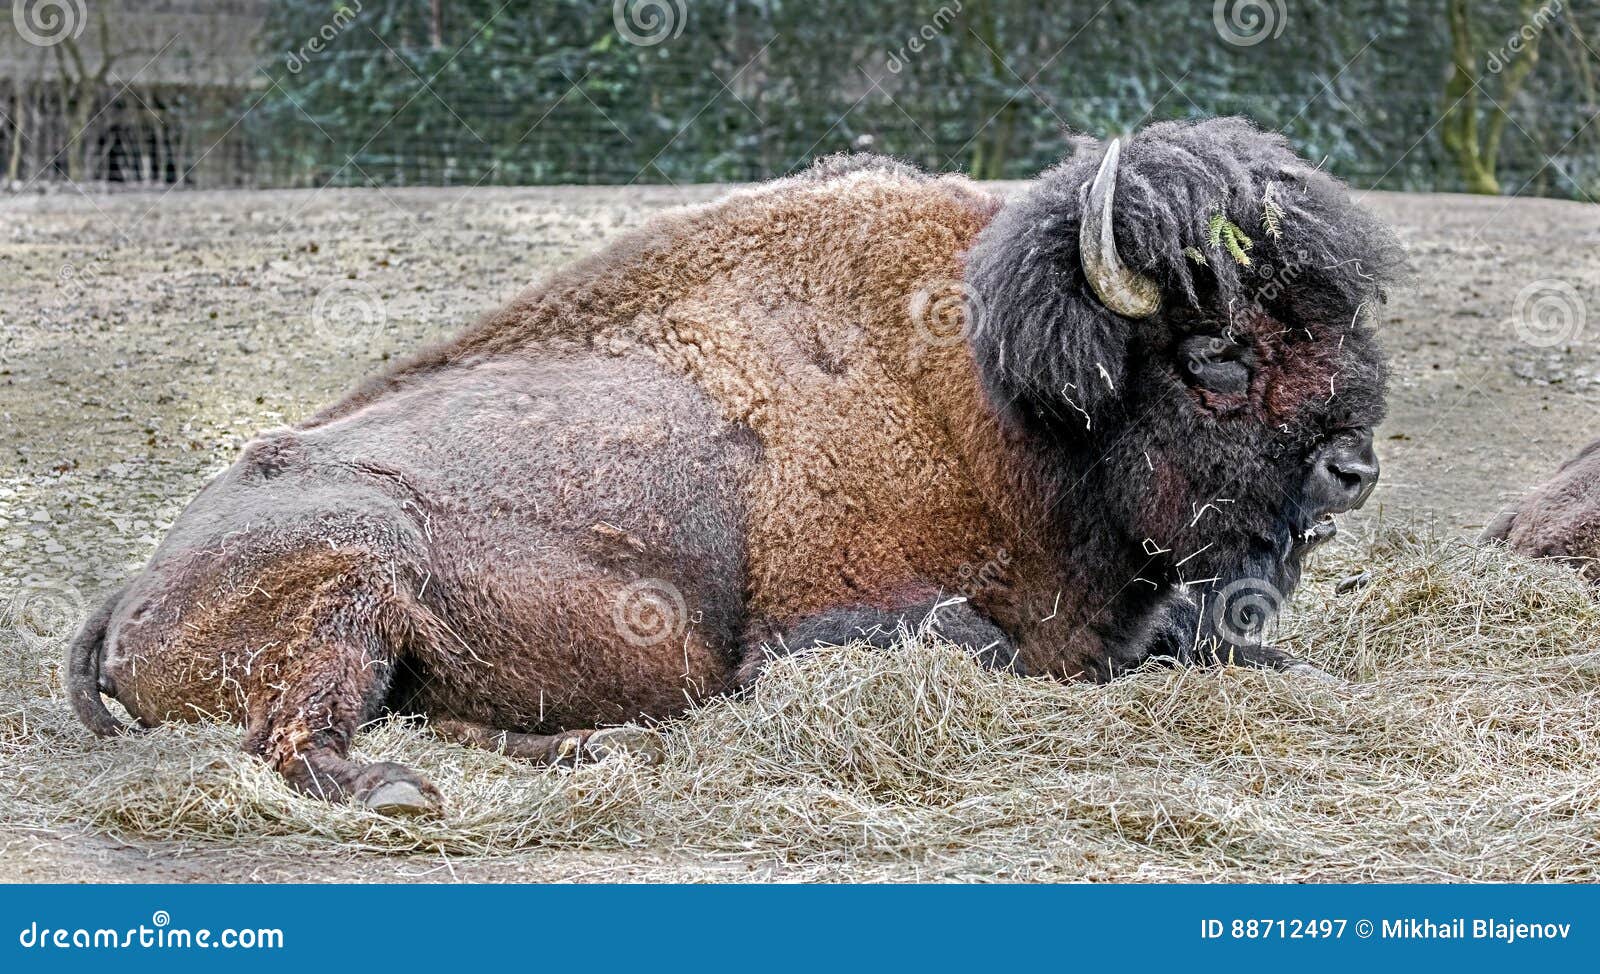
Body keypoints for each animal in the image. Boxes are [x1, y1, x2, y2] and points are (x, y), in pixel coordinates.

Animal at [70, 118, 1401, 814]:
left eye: (1338, 320)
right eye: (1217, 353)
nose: (1352, 464)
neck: (1001, 399)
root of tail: (130, 587)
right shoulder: (828, 624)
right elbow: (995, 648)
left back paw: (596, 747)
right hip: (355, 565)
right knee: (293, 740)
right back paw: (412, 787)